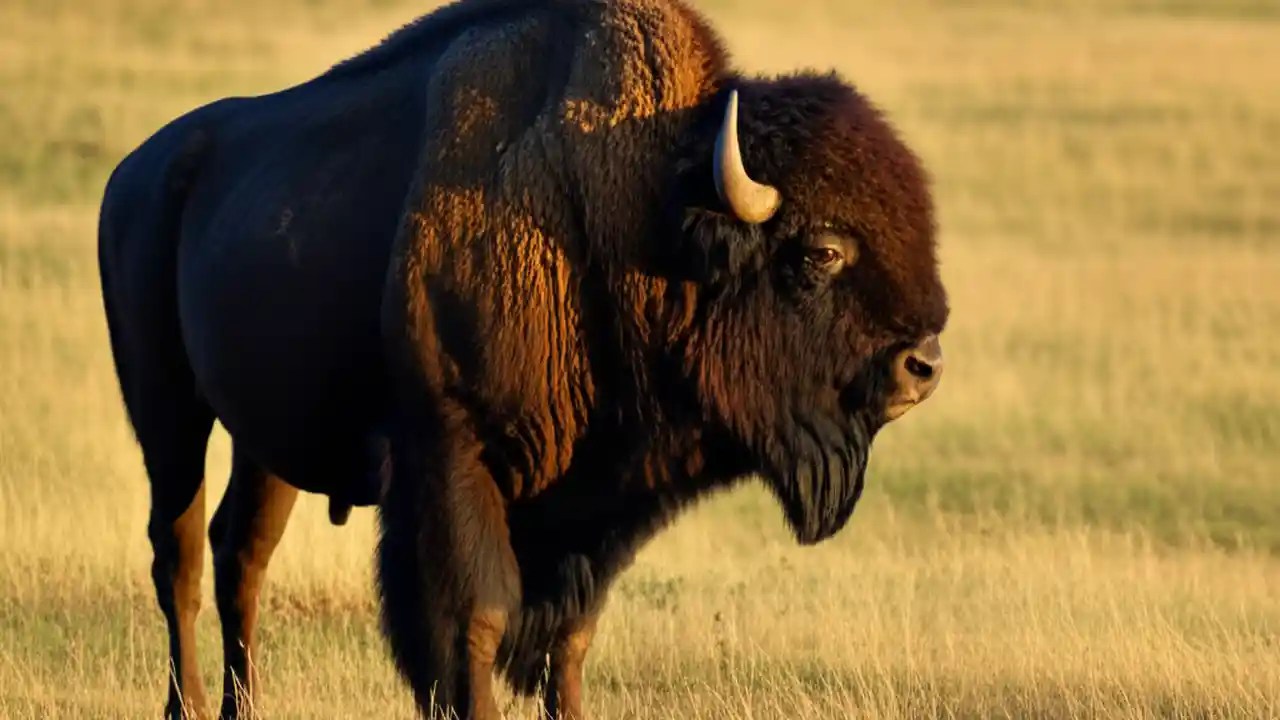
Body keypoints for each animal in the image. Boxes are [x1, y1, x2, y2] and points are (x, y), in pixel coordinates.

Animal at [98, 0, 948, 717]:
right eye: (822, 250)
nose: (924, 364)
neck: (632, 213)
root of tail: (137, 171)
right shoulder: (454, 455)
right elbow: (474, 619)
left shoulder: (591, 506)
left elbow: (567, 639)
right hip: (166, 409)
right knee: (178, 554)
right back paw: (186, 706)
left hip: (264, 441)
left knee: (241, 552)